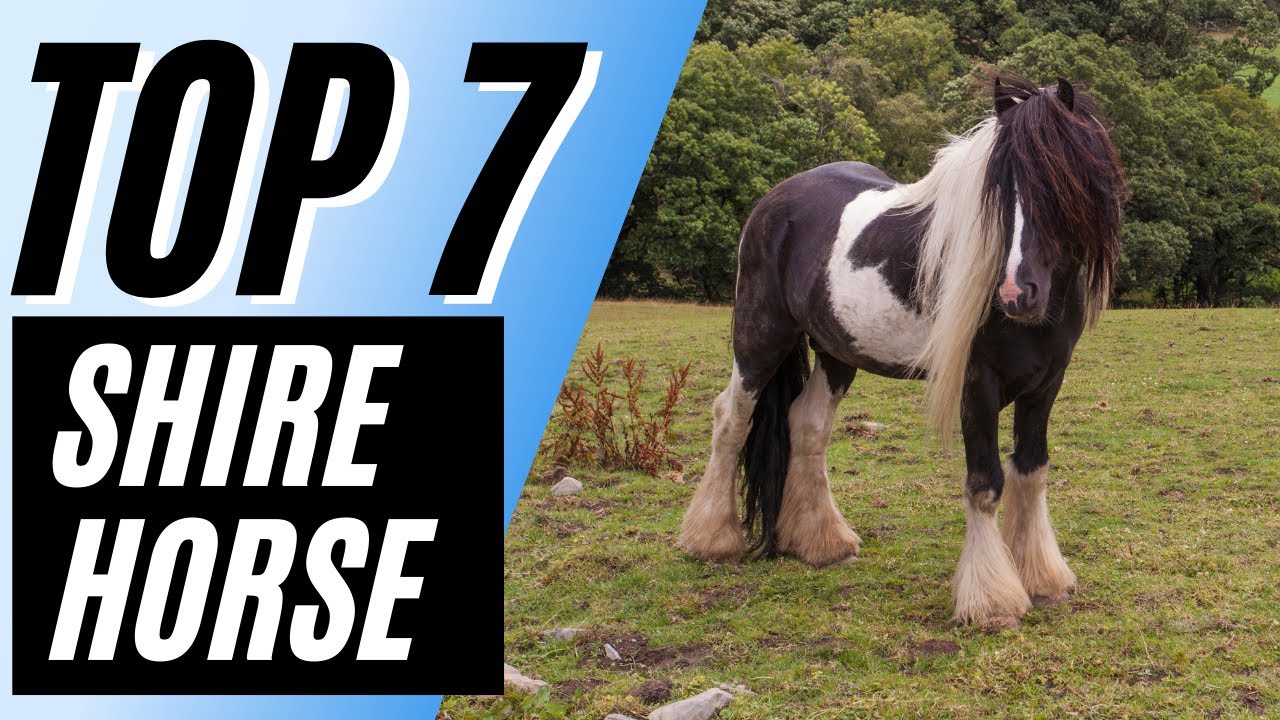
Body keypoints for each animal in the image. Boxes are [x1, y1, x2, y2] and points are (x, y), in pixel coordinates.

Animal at [678, 74, 1124, 629]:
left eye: (1059, 184)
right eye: (1000, 190)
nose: (1017, 293)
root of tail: (774, 200)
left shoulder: (1045, 385)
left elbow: (1031, 470)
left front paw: (1041, 578)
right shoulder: (977, 385)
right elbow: (985, 482)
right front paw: (991, 601)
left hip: (836, 352)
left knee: (807, 424)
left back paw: (823, 543)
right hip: (760, 338)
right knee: (732, 418)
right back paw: (712, 539)